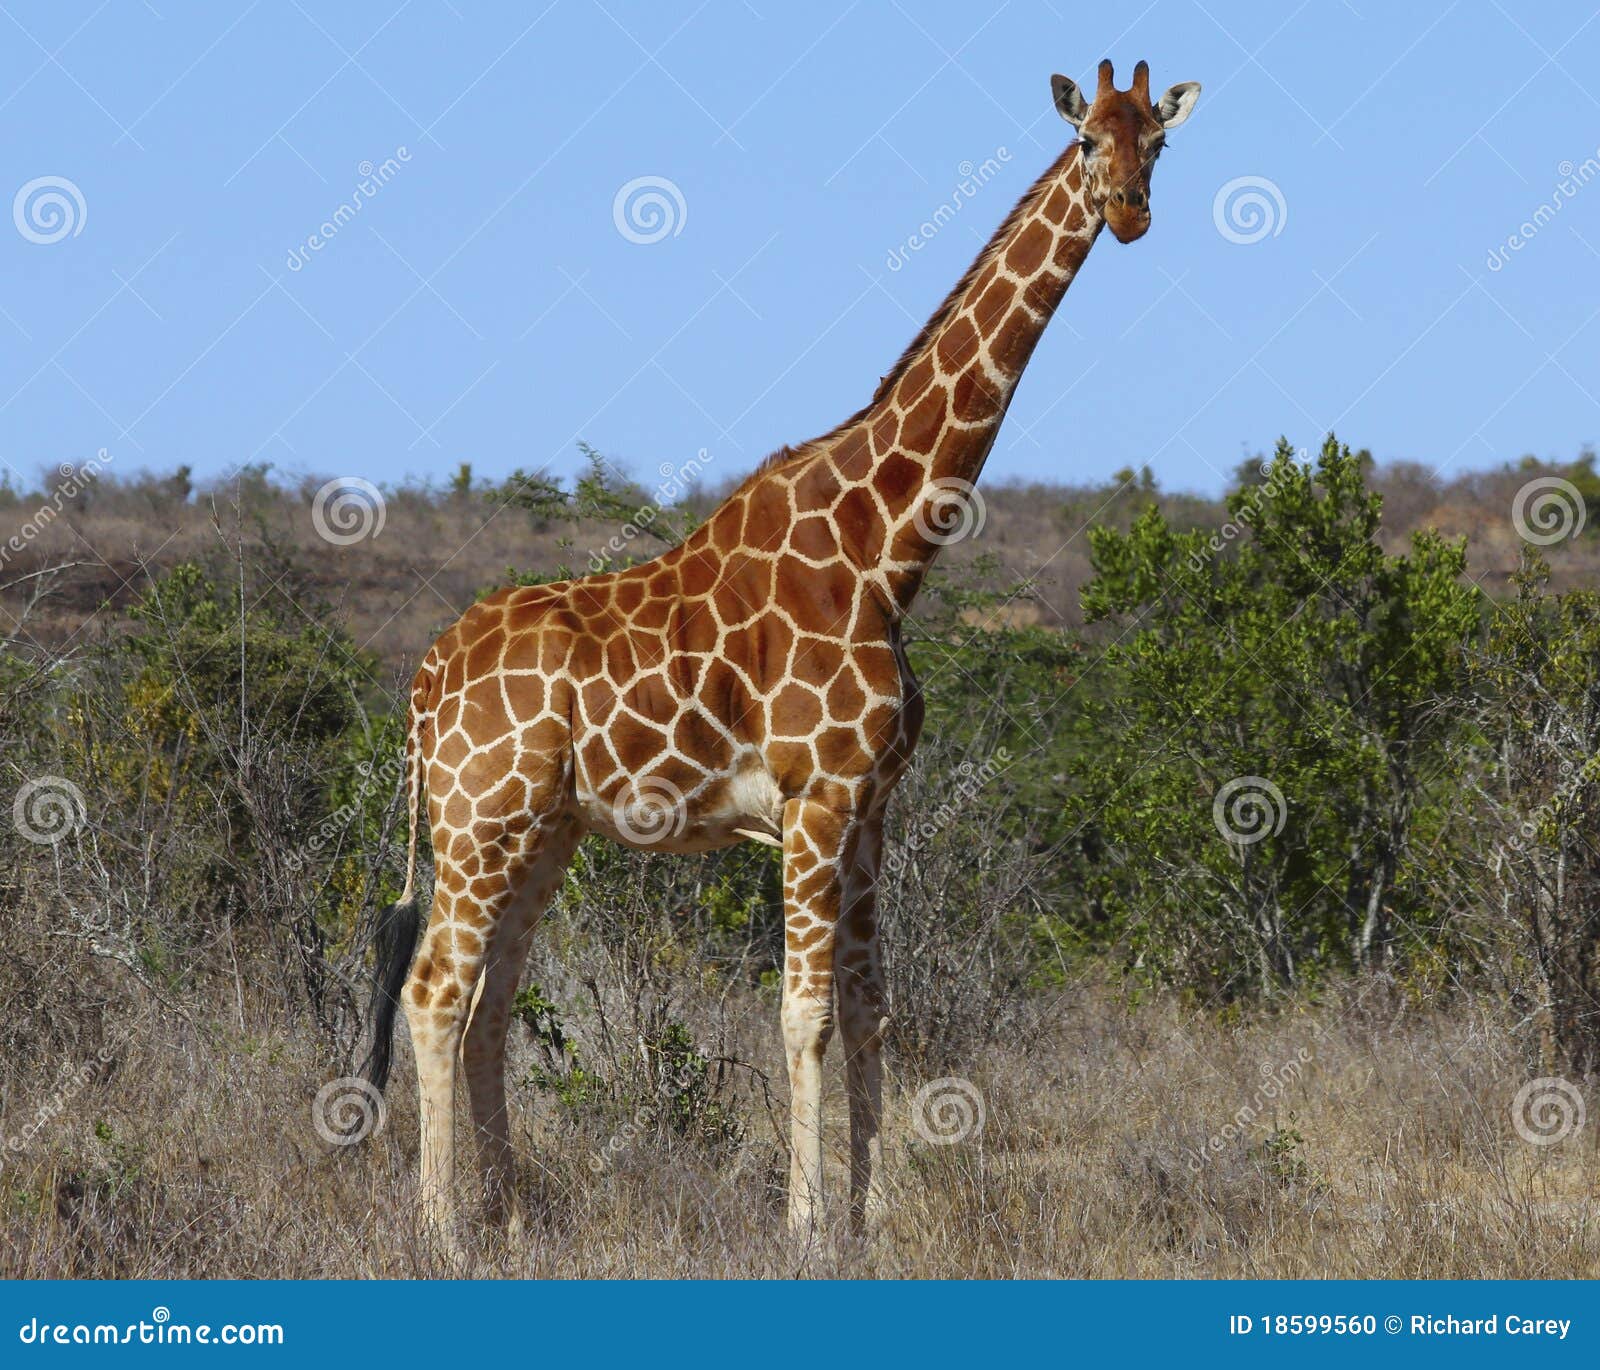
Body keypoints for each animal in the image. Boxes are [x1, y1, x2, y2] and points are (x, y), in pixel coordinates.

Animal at [361, 59, 1200, 1241]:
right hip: (484, 818)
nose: (1128, 211)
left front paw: (874, 1218)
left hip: (544, 830)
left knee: (489, 1001)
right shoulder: (815, 796)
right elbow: (804, 1012)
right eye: (1086, 139)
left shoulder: (873, 804)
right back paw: (443, 1223)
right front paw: (804, 1223)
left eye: (1157, 143)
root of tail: (425, 685)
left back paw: (513, 1214)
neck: (886, 548)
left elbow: (872, 1007)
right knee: (437, 986)